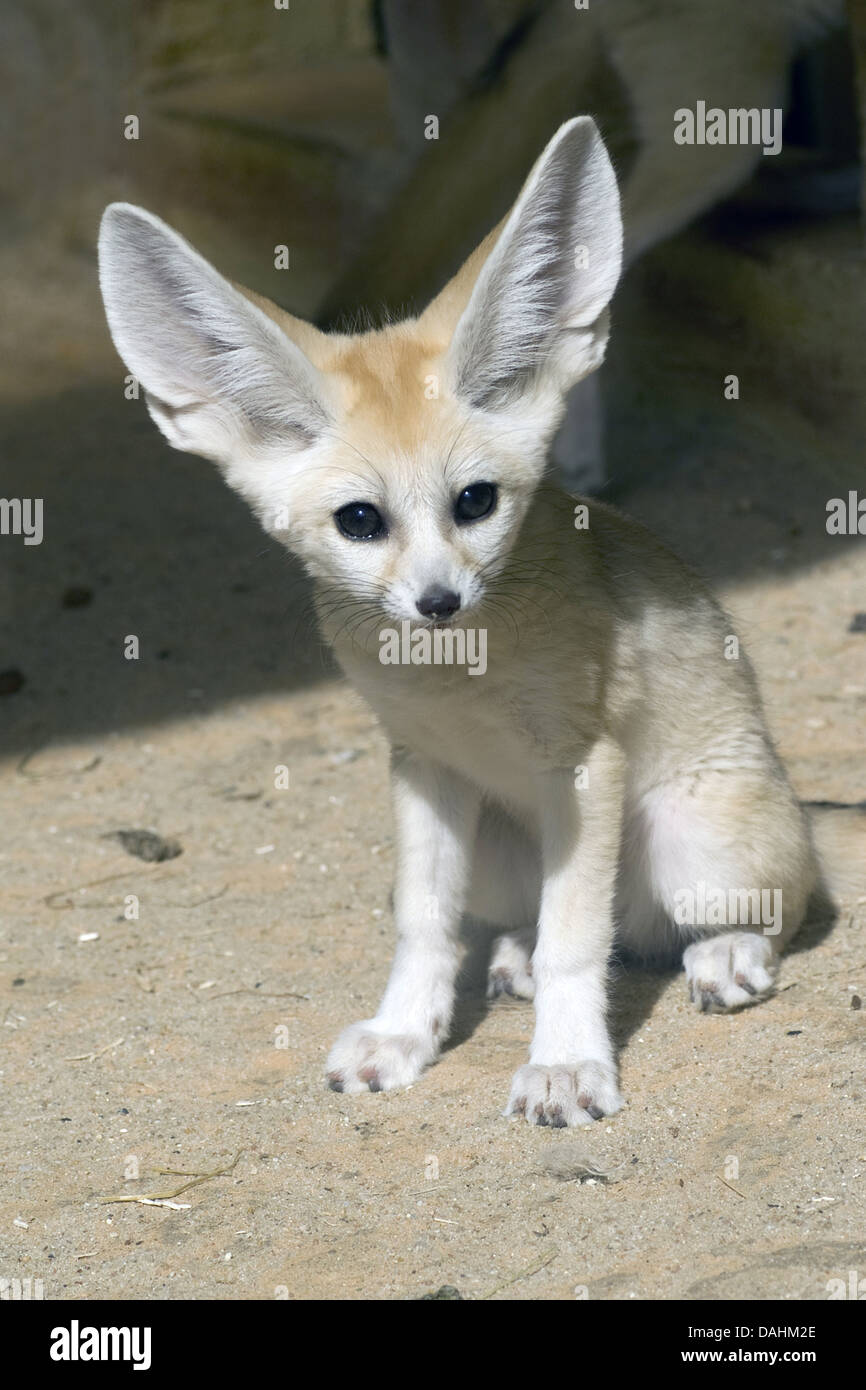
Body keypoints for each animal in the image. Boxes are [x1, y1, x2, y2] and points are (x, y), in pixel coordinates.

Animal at [98, 117, 843, 1127]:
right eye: (360, 521)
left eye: (476, 501)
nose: (439, 602)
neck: (455, 673)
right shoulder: (424, 766)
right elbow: (425, 924)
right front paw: (404, 1034)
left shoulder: (583, 765)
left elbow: (578, 937)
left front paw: (566, 1063)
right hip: (500, 851)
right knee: (567, 925)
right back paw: (517, 956)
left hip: (699, 841)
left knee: (765, 910)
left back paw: (725, 954)